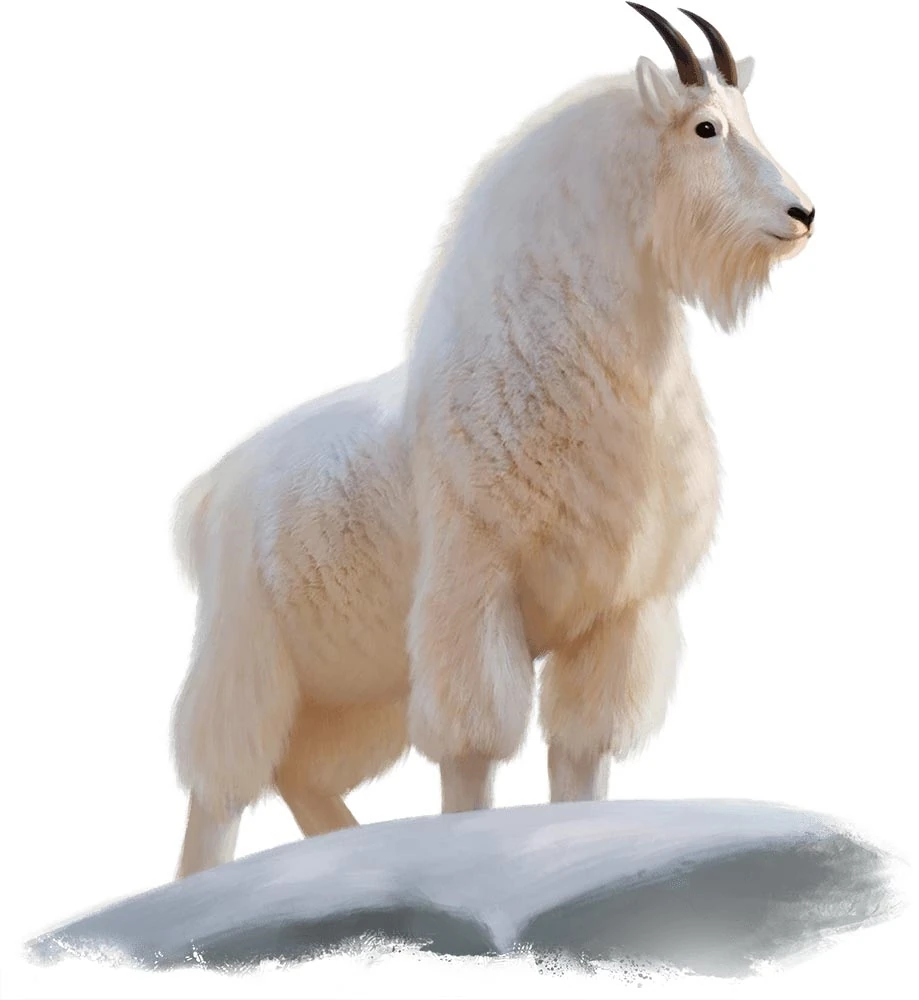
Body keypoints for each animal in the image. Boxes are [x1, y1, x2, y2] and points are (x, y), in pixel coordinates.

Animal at [172, 3, 814, 877]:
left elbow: (581, 754)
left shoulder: (617, 618)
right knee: (222, 781)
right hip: (246, 648)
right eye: (705, 126)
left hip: (359, 685)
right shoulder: (474, 592)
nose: (801, 214)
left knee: (301, 774)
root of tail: (207, 496)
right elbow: (473, 747)